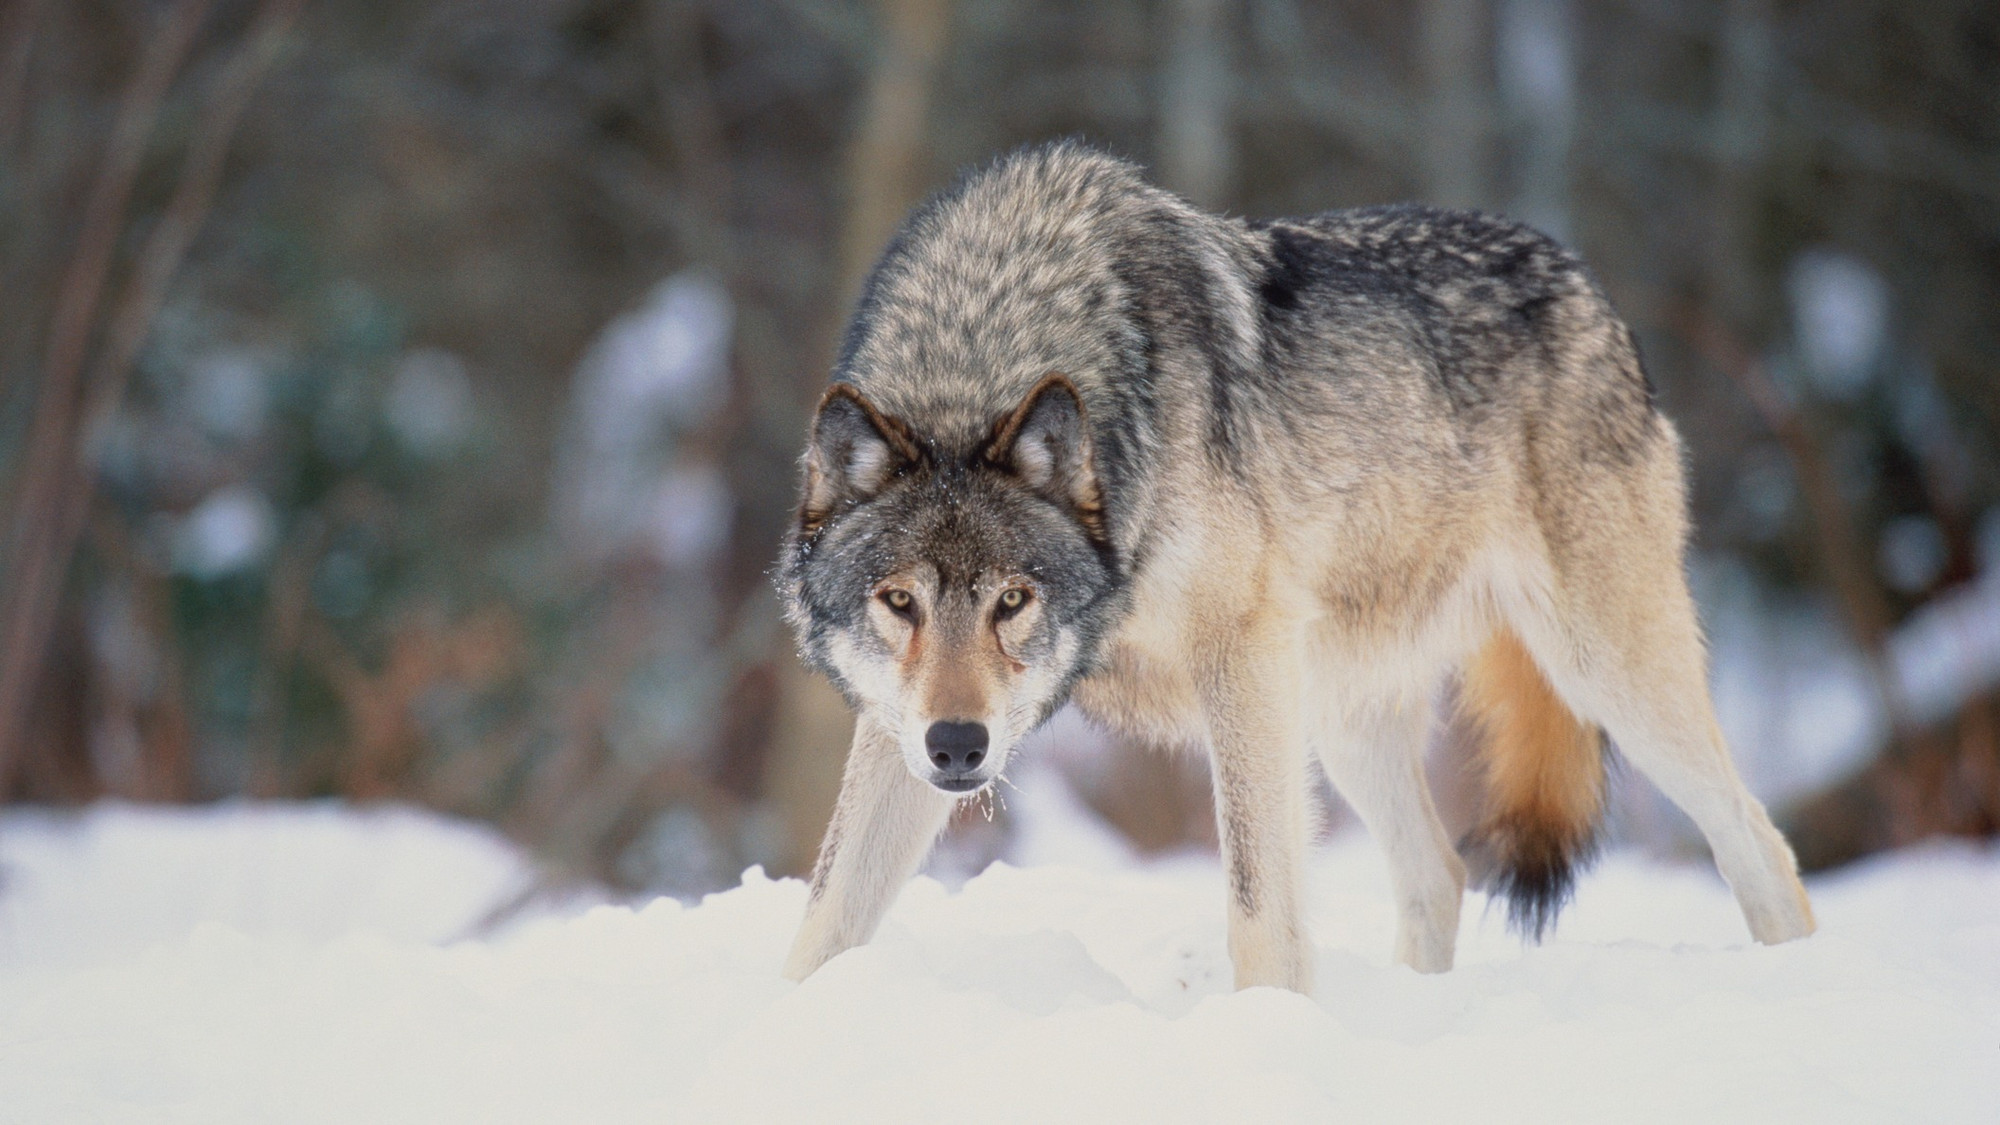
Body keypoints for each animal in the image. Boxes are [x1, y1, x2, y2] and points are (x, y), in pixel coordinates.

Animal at [777, 142, 1814, 992]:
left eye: (1013, 599)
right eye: (899, 601)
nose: (959, 745)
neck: (988, 338)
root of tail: (1584, 278)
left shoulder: (1240, 659)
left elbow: (1257, 908)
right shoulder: (896, 725)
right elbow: (825, 915)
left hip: (1602, 672)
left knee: (1761, 845)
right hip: (1342, 717)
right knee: (1439, 875)